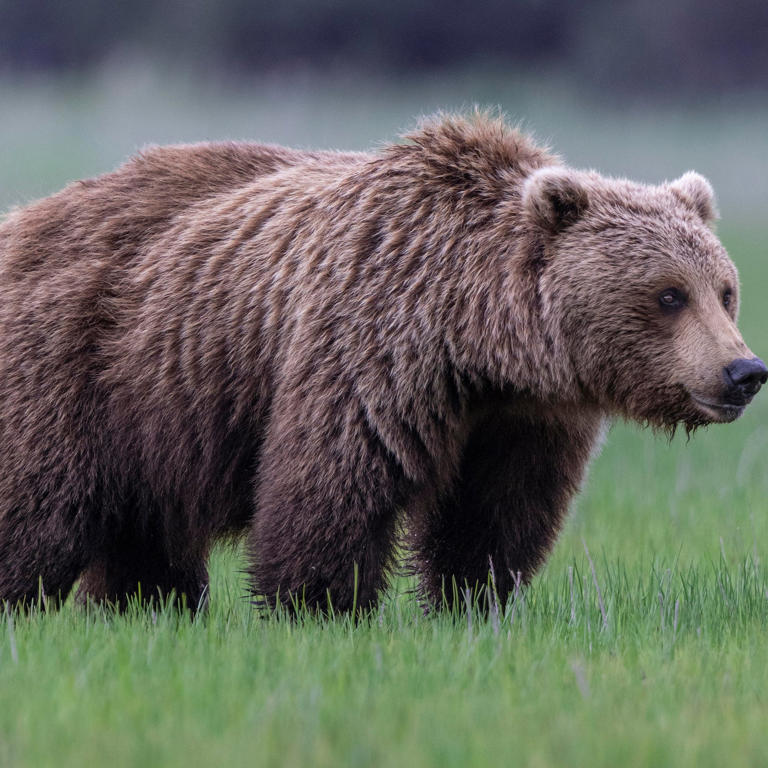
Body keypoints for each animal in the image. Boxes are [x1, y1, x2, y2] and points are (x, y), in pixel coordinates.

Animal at [0, 112, 764, 613]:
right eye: (668, 294)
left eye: (724, 290)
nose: (743, 372)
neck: (478, 343)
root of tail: (24, 218)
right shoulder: (370, 346)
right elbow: (333, 487)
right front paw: (319, 604)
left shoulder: (523, 419)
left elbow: (494, 516)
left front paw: (473, 600)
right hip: (83, 362)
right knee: (42, 512)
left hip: (153, 412)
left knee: (144, 533)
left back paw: (147, 605)